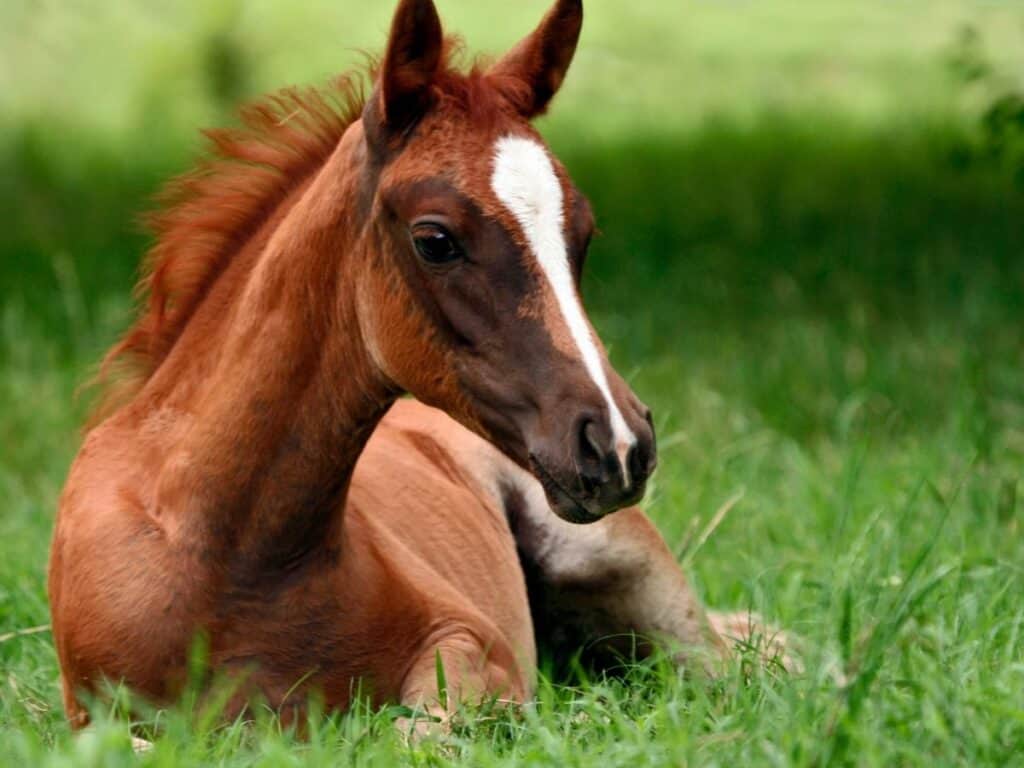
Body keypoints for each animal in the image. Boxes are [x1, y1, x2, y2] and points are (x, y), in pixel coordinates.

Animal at [49, 0, 777, 730]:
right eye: (436, 240)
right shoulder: (90, 712)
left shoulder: (473, 643)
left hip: (637, 588)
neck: (226, 558)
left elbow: (419, 732)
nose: (618, 446)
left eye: (584, 234)